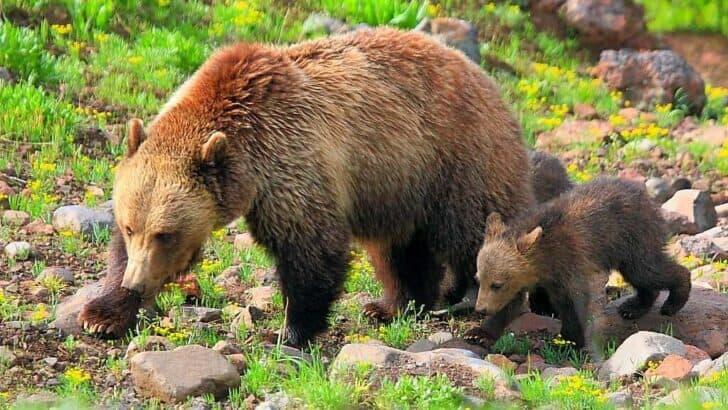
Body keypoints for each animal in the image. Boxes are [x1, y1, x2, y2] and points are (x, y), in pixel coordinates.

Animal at [77, 27, 534, 345]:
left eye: (165, 234)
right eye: (132, 227)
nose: (137, 283)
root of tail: (491, 83)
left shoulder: (291, 163)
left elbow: (310, 248)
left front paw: (289, 331)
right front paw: (102, 314)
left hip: (456, 162)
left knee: (476, 233)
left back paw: (482, 317)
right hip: (399, 186)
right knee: (400, 249)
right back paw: (393, 305)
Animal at [474, 177, 691, 348]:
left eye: (497, 284)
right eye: (479, 279)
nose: (480, 309)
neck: (543, 262)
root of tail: (646, 198)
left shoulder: (568, 261)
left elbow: (573, 301)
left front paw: (568, 342)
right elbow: (510, 304)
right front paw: (479, 333)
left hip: (632, 237)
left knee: (648, 270)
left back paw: (673, 302)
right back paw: (633, 307)